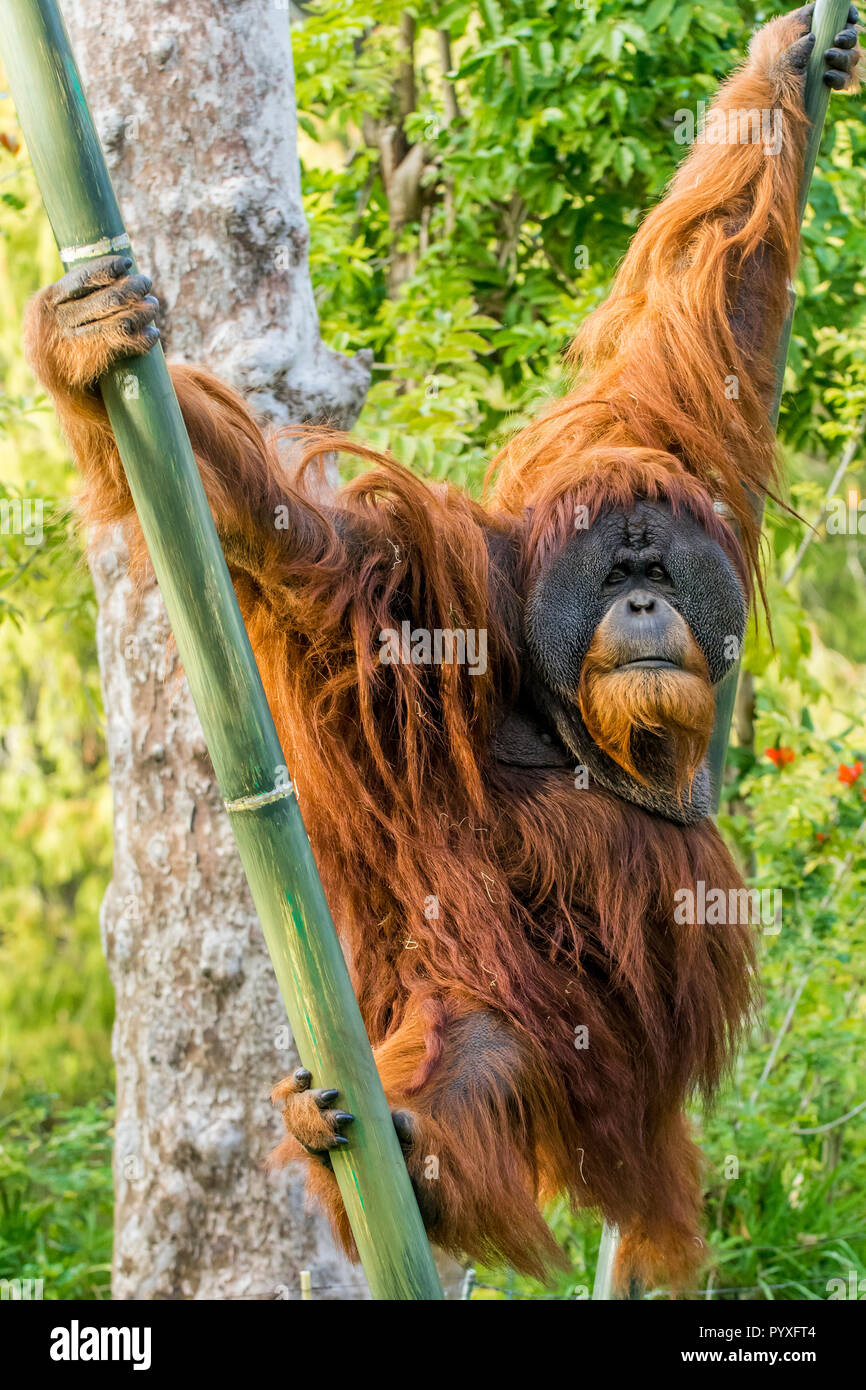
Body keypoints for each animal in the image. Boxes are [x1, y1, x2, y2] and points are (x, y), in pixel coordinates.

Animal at [23, 6, 861, 1288]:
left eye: (659, 570)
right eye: (612, 578)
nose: (640, 606)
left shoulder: (673, 458)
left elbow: (711, 301)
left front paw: (787, 69)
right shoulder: (433, 605)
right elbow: (278, 536)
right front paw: (81, 344)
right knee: (480, 1046)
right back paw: (397, 1161)